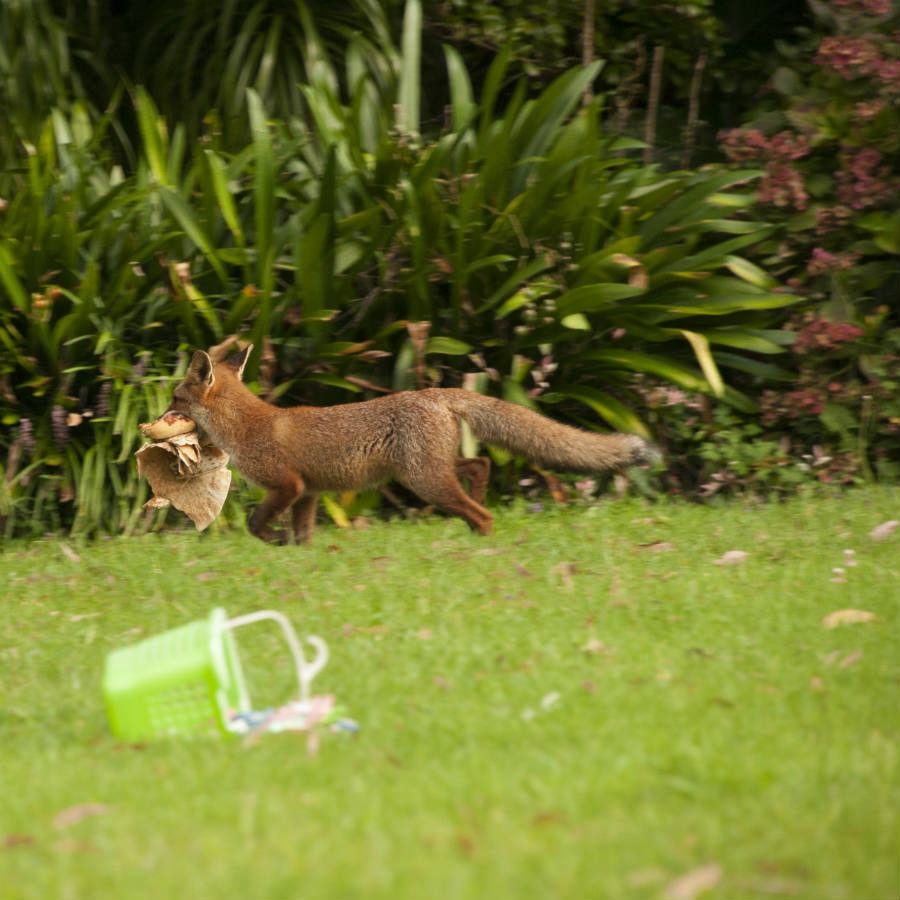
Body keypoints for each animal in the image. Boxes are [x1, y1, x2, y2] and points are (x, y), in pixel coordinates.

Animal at [165, 344, 659, 543]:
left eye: (174, 398)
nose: (159, 417)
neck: (249, 426)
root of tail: (433, 392)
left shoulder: (287, 486)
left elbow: (255, 523)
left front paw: (275, 541)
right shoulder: (310, 493)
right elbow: (303, 535)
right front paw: (296, 552)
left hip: (424, 480)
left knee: (481, 511)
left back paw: (481, 543)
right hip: (427, 471)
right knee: (479, 468)